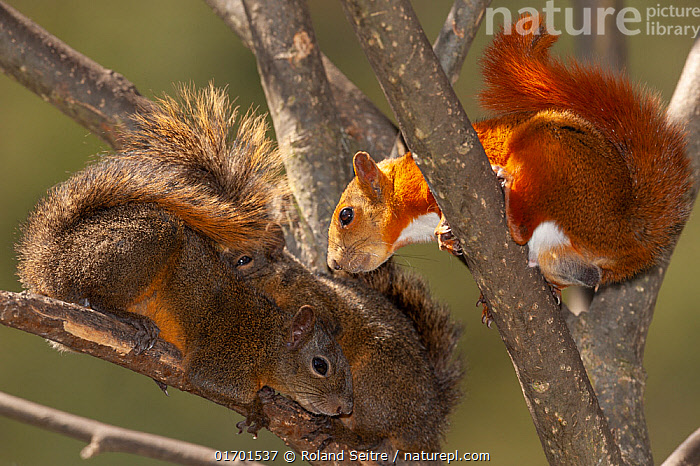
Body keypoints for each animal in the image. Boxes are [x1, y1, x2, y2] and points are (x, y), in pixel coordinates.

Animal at [16, 85, 354, 421]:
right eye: (320, 365)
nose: (345, 408)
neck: (268, 338)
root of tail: (50, 261)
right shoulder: (224, 359)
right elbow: (220, 385)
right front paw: (260, 407)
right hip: (140, 243)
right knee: (91, 298)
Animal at [327, 13, 692, 290]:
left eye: (346, 215)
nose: (333, 265)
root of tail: (627, 228)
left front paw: (446, 229)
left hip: (555, 158)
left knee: (521, 226)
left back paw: (505, 189)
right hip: (564, 253)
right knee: (585, 275)